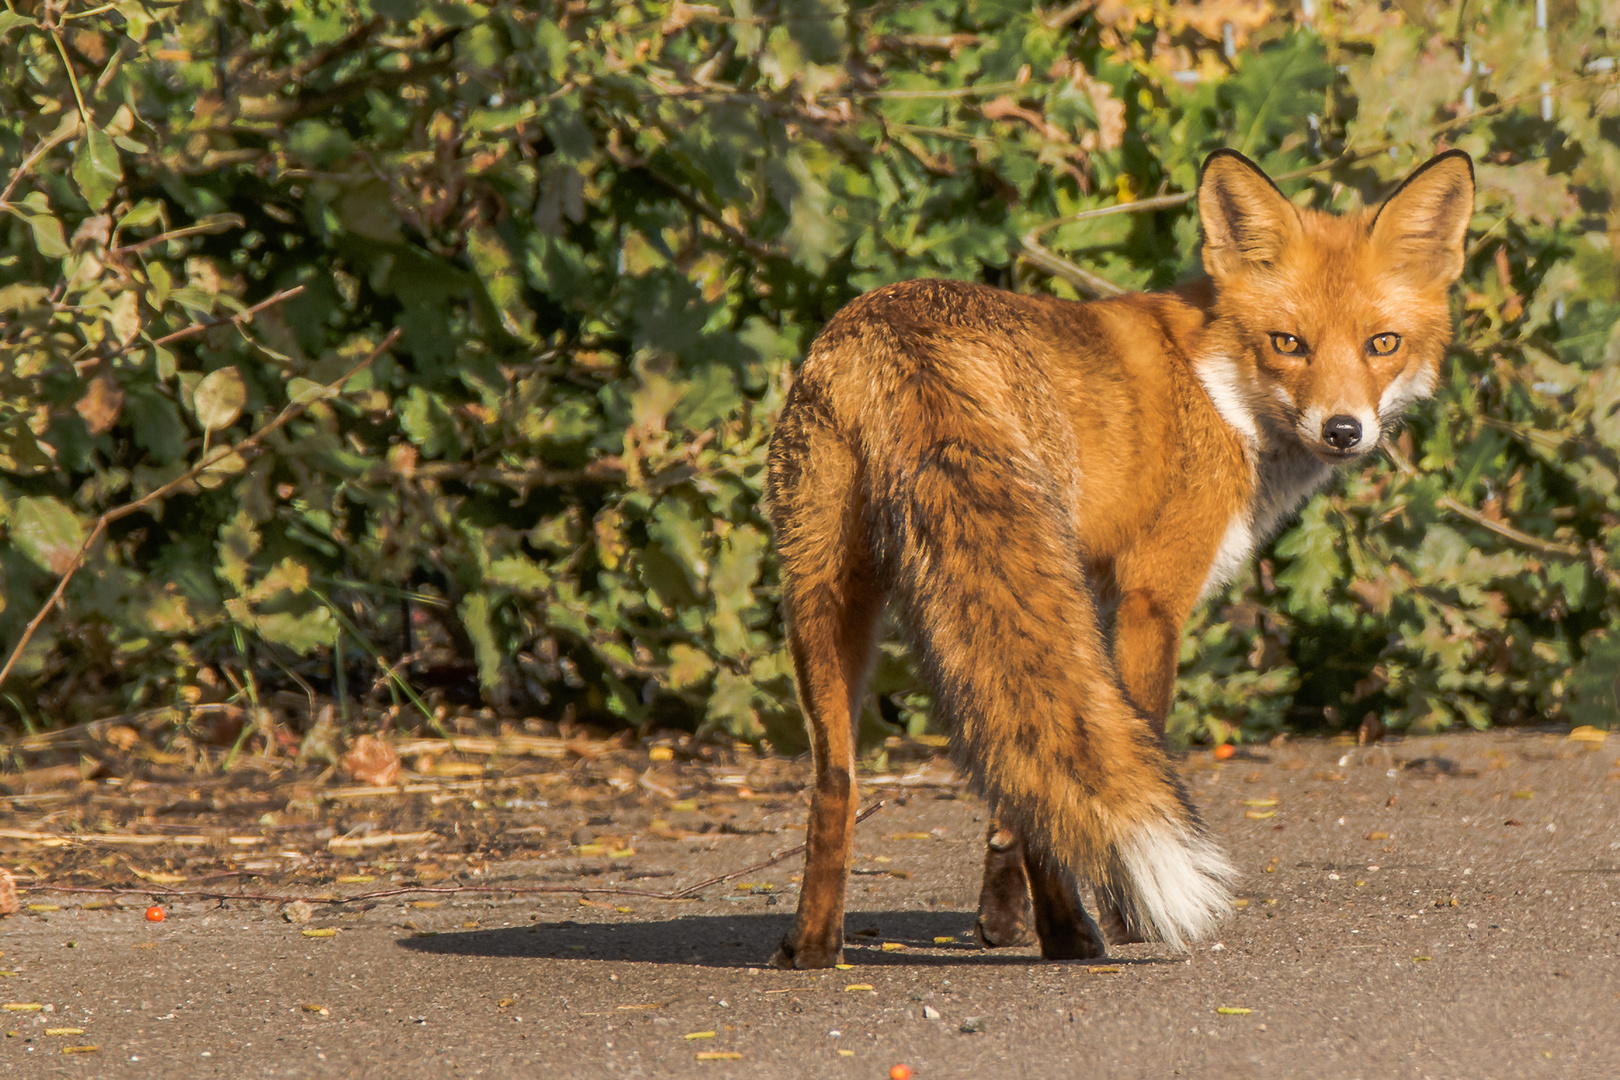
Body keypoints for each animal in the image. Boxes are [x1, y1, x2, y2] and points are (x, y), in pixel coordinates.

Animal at [763, 148, 1476, 968]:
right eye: (1288, 343)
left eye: (1382, 344)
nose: (1343, 430)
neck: (1217, 384)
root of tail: (901, 335)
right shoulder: (1150, 598)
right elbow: (1138, 737)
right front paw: (1121, 915)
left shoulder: (1082, 604)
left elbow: (1024, 788)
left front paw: (1000, 918)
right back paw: (1078, 939)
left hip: (826, 599)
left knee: (838, 780)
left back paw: (813, 948)